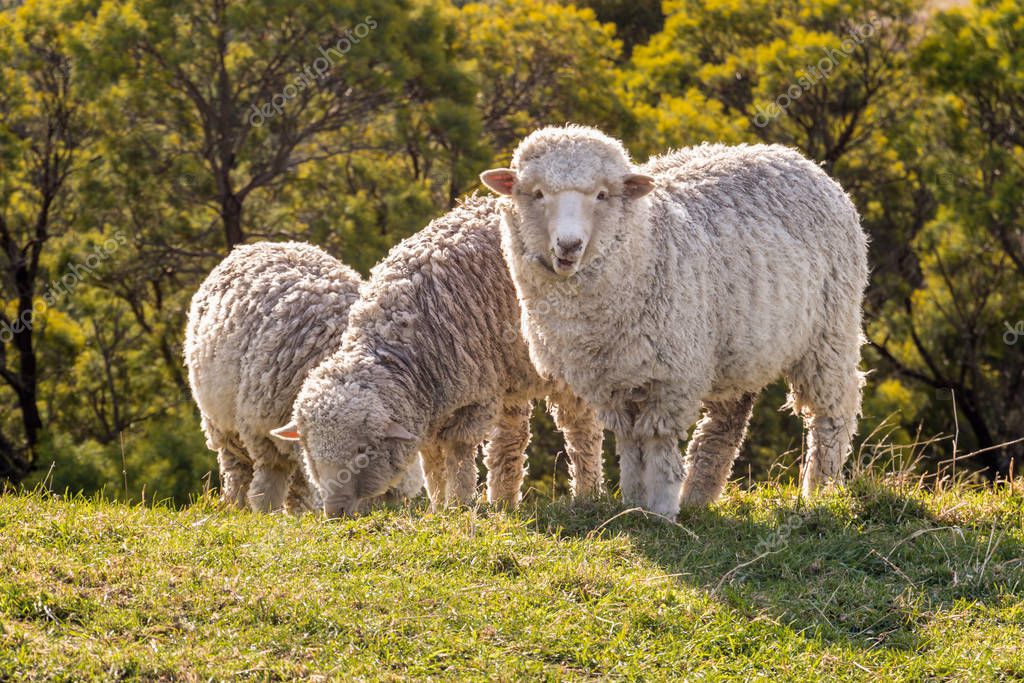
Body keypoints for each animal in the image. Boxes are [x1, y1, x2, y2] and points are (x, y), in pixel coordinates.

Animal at [184, 241, 424, 513]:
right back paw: (238, 505)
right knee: (237, 467)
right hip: (220, 422)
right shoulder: (259, 429)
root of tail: (256, 245)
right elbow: (271, 476)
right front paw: (265, 509)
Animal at [271, 196, 604, 517]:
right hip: (511, 372)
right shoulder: (431, 406)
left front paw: (458, 503)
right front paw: (437, 505)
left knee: (581, 428)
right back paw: (503, 502)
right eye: (311, 452)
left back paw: (586, 495)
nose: (334, 512)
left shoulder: (472, 396)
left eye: (363, 451)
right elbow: (432, 459)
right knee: (512, 438)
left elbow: (457, 451)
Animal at [481, 125, 868, 517]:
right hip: (736, 346)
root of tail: (795, 157)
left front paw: (662, 508)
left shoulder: (672, 377)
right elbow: (629, 440)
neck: (648, 243)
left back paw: (819, 488)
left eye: (602, 195)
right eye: (538, 193)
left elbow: (657, 440)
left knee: (833, 411)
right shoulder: (612, 381)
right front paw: (634, 500)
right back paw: (699, 496)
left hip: (830, 330)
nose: (569, 245)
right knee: (725, 424)